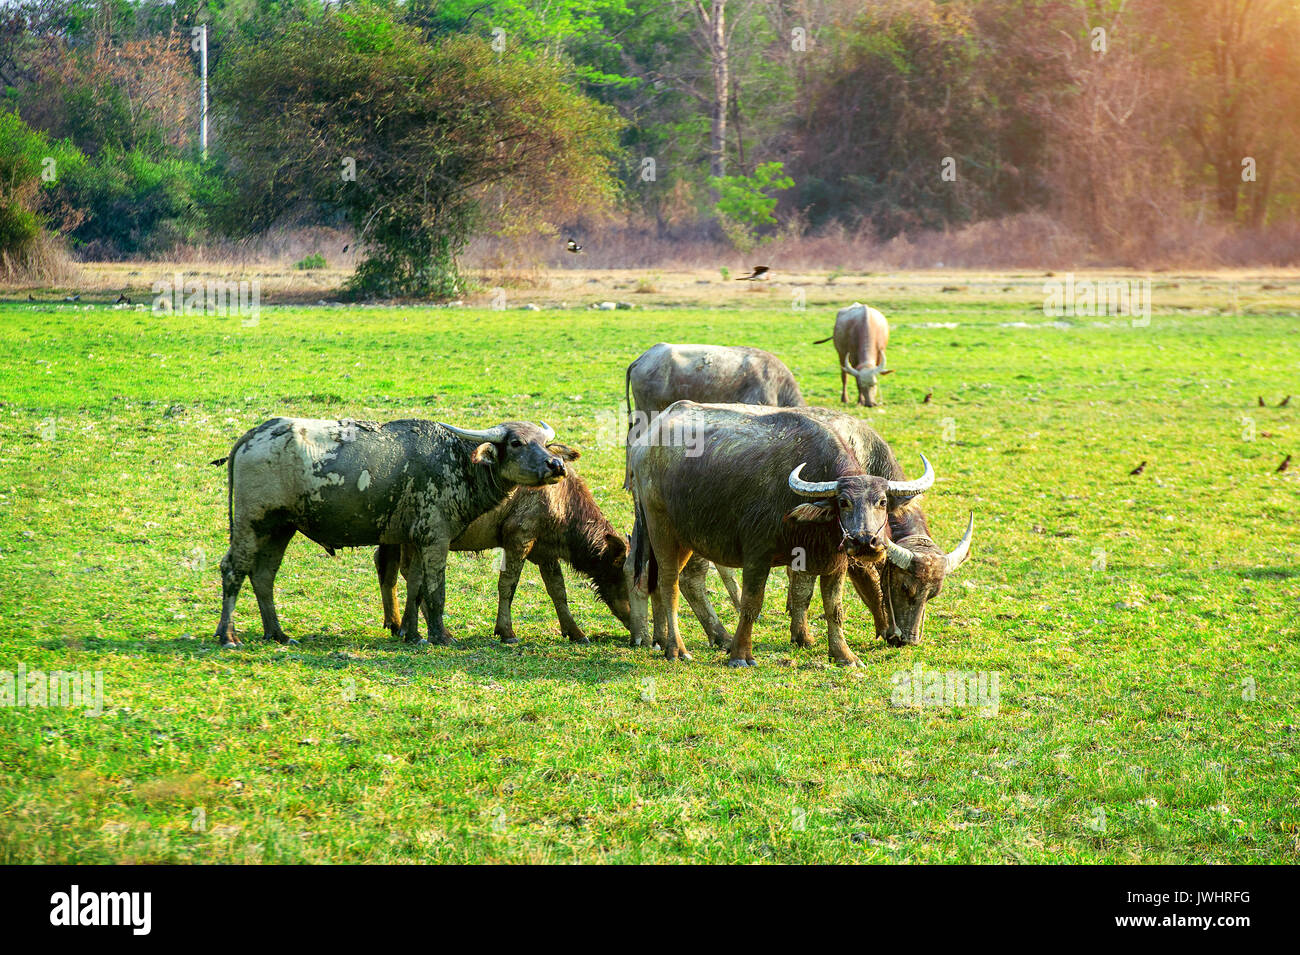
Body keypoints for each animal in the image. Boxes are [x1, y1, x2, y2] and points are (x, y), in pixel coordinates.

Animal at [211, 417, 566, 648]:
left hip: (280, 528)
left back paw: (278, 633)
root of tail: (253, 435)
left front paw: (412, 634)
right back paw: (228, 636)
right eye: (517, 443)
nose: (556, 465)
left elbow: (415, 586)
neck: (459, 462)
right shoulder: (436, 538)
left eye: (544, 443)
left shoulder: (414, 539)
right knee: (233, 570)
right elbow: (435, 590)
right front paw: (441, 636)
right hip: (251, 522)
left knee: (263, 576)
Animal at [372, 446, 632, 644]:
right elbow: (508, 584)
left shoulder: (544, 549)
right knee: (406, 571)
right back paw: (429, 630)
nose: (635, 621)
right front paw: (506, 631)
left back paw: (397, 624)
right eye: (627, 579)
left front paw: (576, 632)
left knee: (389, 566)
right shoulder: (518, 534)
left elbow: (558, 590)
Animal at [634, 405, 972, 656]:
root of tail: (647, 438)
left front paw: (803, 636)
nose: (909, 639)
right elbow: (866, 583)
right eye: (904, 587)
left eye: (933, 593)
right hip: (666, 530)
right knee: (676, 580)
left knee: (661, 577)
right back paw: (681, 644)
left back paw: (671, 638)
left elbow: (803, 592)